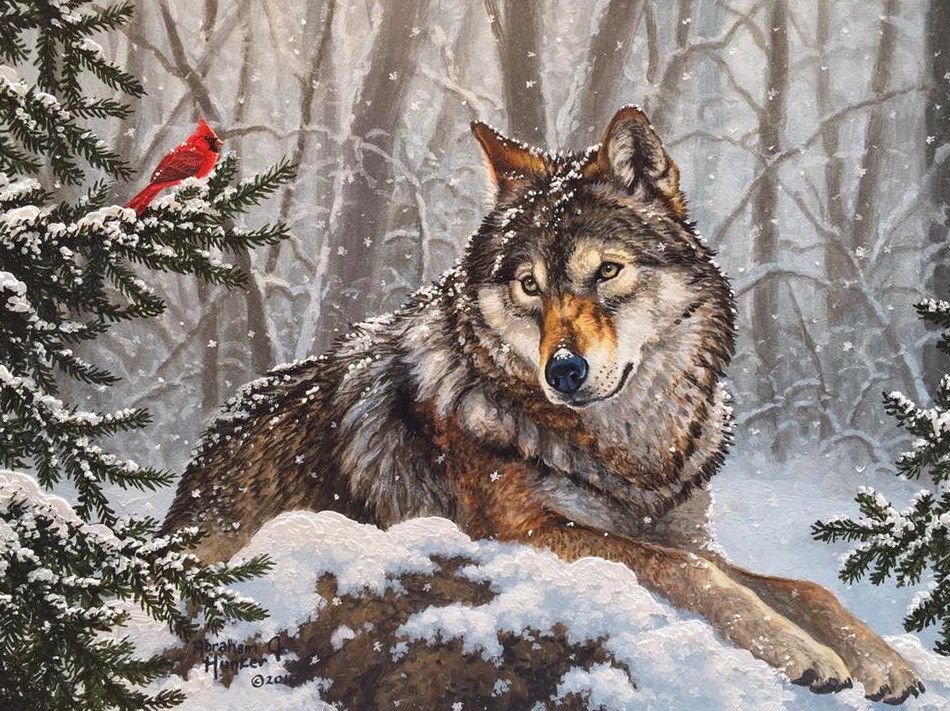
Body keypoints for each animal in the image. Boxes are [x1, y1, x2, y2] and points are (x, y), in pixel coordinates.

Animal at [164, 106, 922, 703]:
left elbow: (805, 586)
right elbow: (693, 573)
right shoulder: (528, 534)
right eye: (529, 285)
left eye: (607, 270)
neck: (634, 453)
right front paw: (804, 651)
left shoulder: (677, 530)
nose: (563, 371)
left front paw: (878, 656)